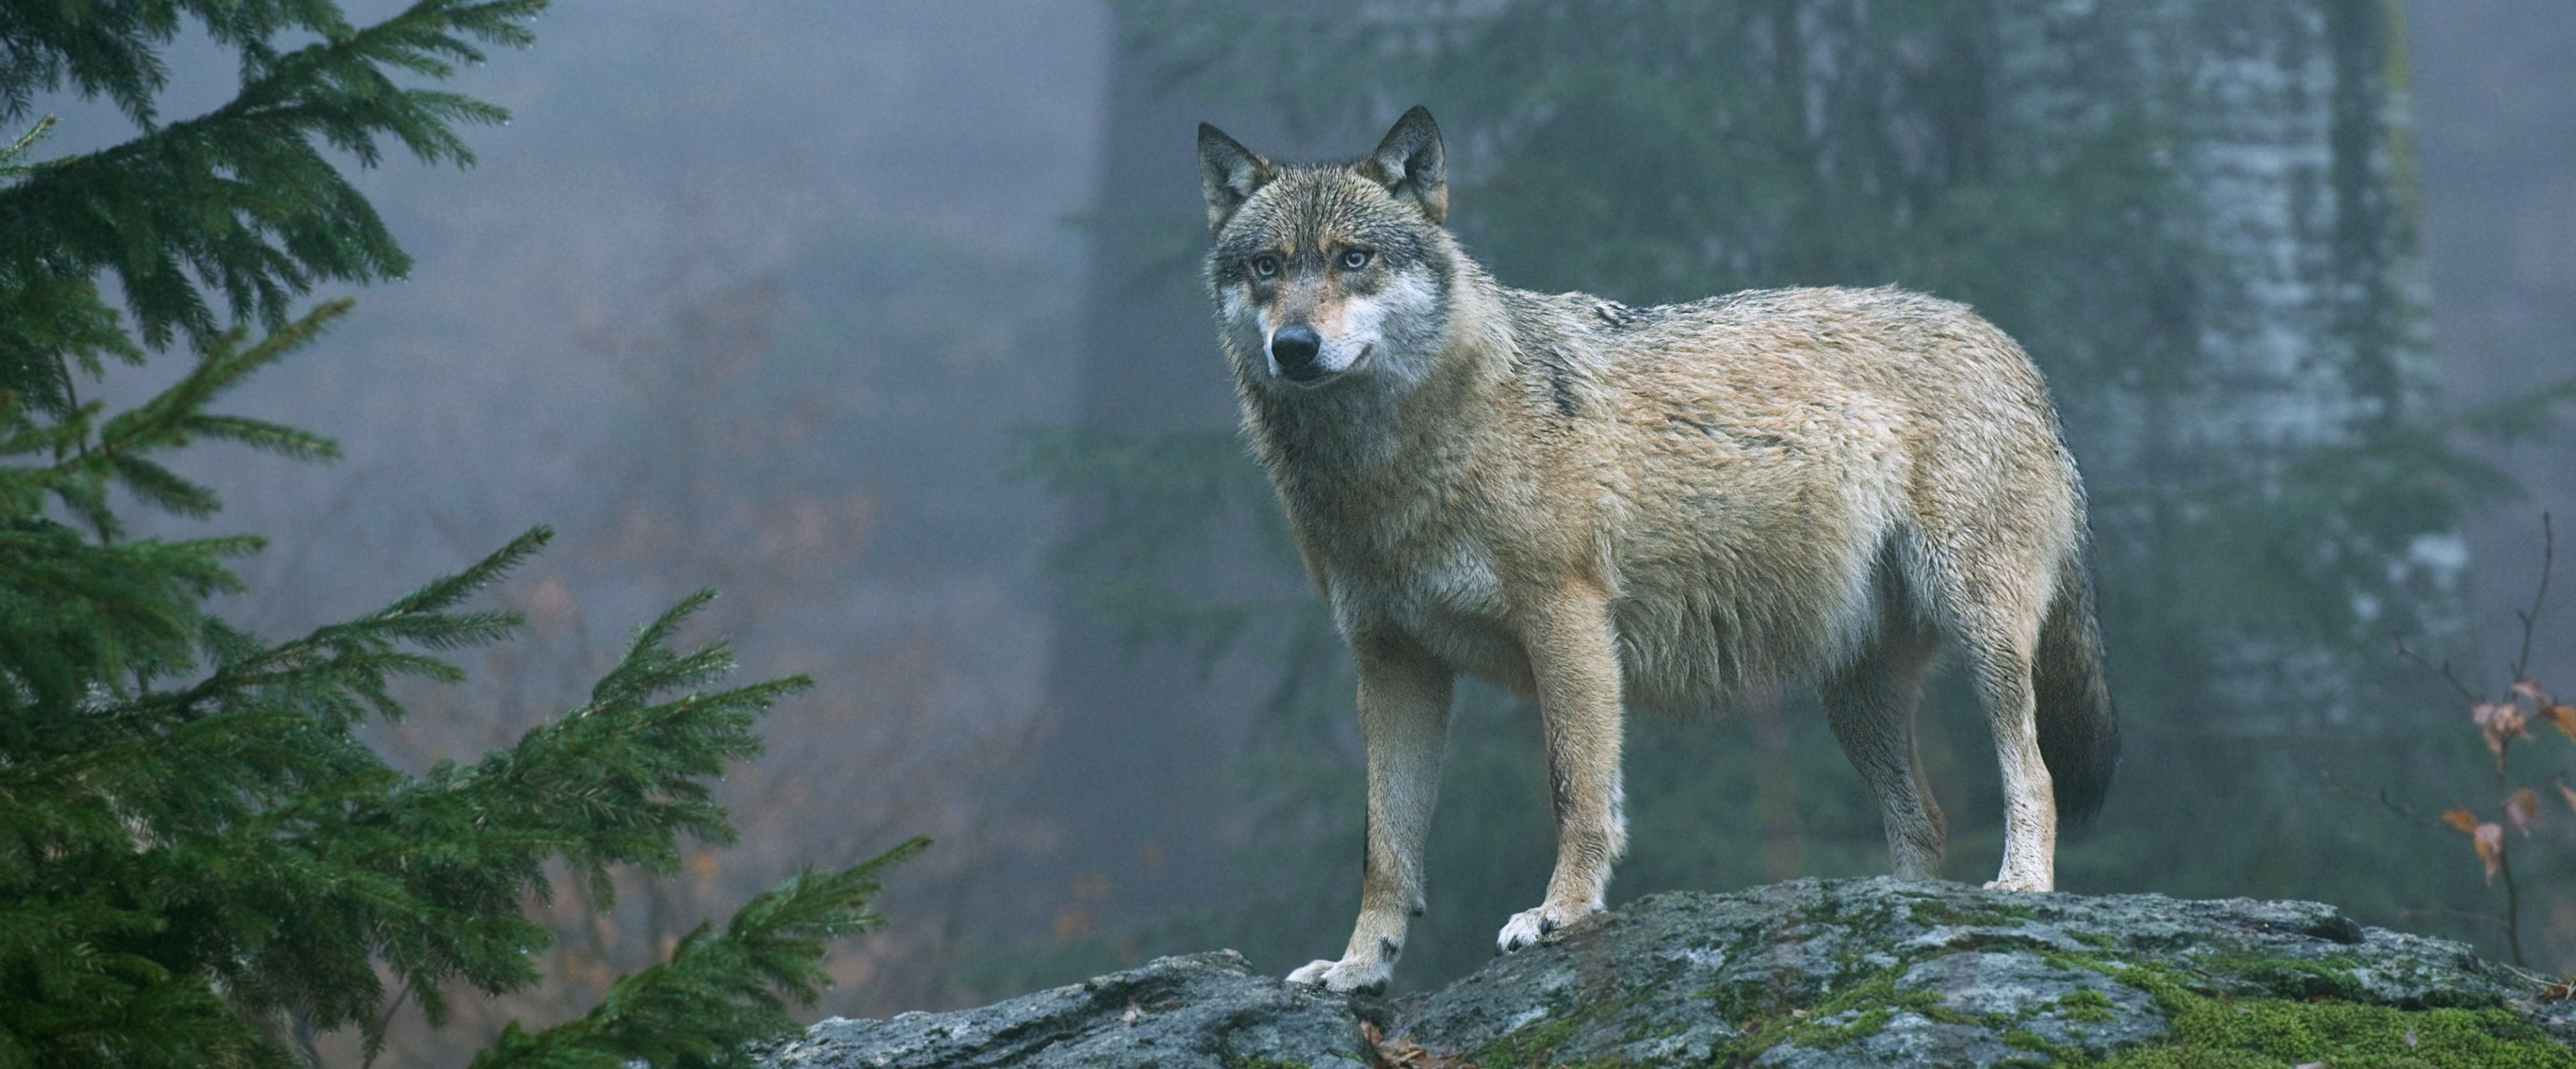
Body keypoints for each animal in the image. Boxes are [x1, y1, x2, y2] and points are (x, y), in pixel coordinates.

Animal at [1195, 105, 2119, 995]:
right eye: (1268, 267)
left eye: (1353, 259)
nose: (1294, 347)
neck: (1398, 463)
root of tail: (2012, 349)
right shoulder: (1392, 661)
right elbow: (1384, 849)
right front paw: (1358, 967)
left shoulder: (1568, 619)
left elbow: (1576, 792)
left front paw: (1559, 914)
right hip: (1855, 695)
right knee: (1924, 818)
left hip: (1982, 631)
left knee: (2032, 771)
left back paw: (2020, 886)